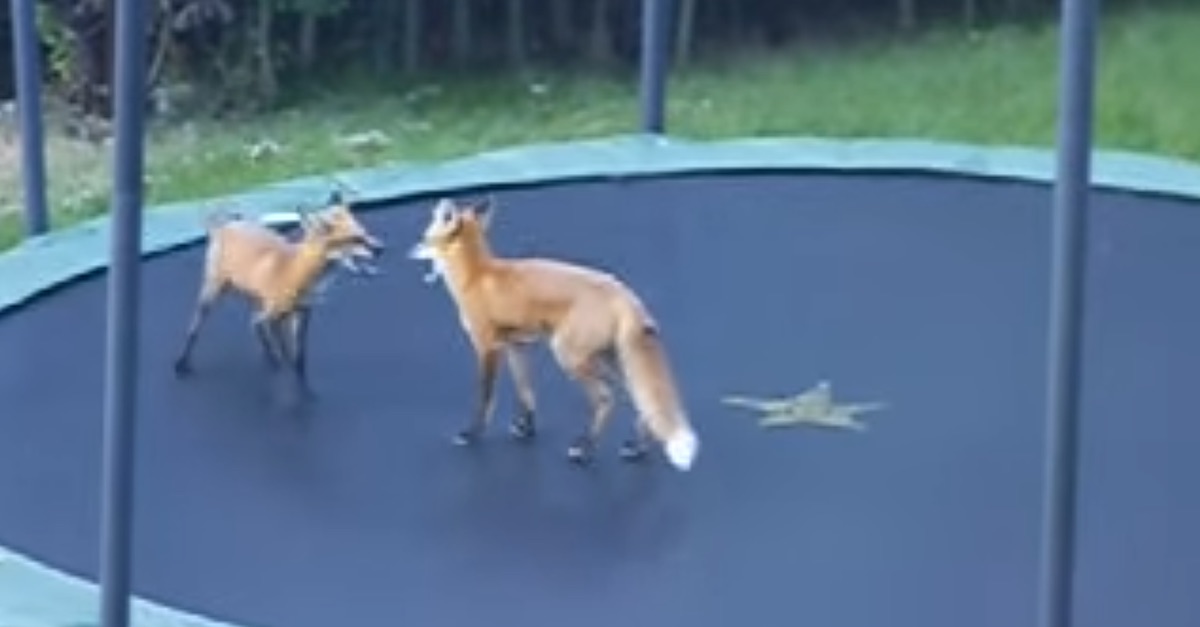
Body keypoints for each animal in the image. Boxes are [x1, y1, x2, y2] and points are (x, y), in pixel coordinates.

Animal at [173, 191, 385, 398]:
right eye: (354, 239)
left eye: (365, 233)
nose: (382, 248)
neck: (298, 273)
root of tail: (225, 225)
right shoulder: (276, 319)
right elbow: (288, 355)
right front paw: (293, 387)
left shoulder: (303, 313)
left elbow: (299, 358)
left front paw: (303, 385)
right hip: (211, 295)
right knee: (194, 330)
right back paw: (181, 363)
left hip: (256, 301)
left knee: (254, 324)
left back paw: (270, 359)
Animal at [408, 197, 699, 471]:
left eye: (425, 238)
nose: (411, 249)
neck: (477, 277)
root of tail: (626, 295)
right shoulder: (516, 346)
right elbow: (526, 391)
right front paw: (526, 428)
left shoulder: (487, 347)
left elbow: (485, 397)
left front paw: (471, 433)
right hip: (610, 358)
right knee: (640, 398)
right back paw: (637, 447)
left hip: (568, 355)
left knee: (606, 397)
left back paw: (584, 447)